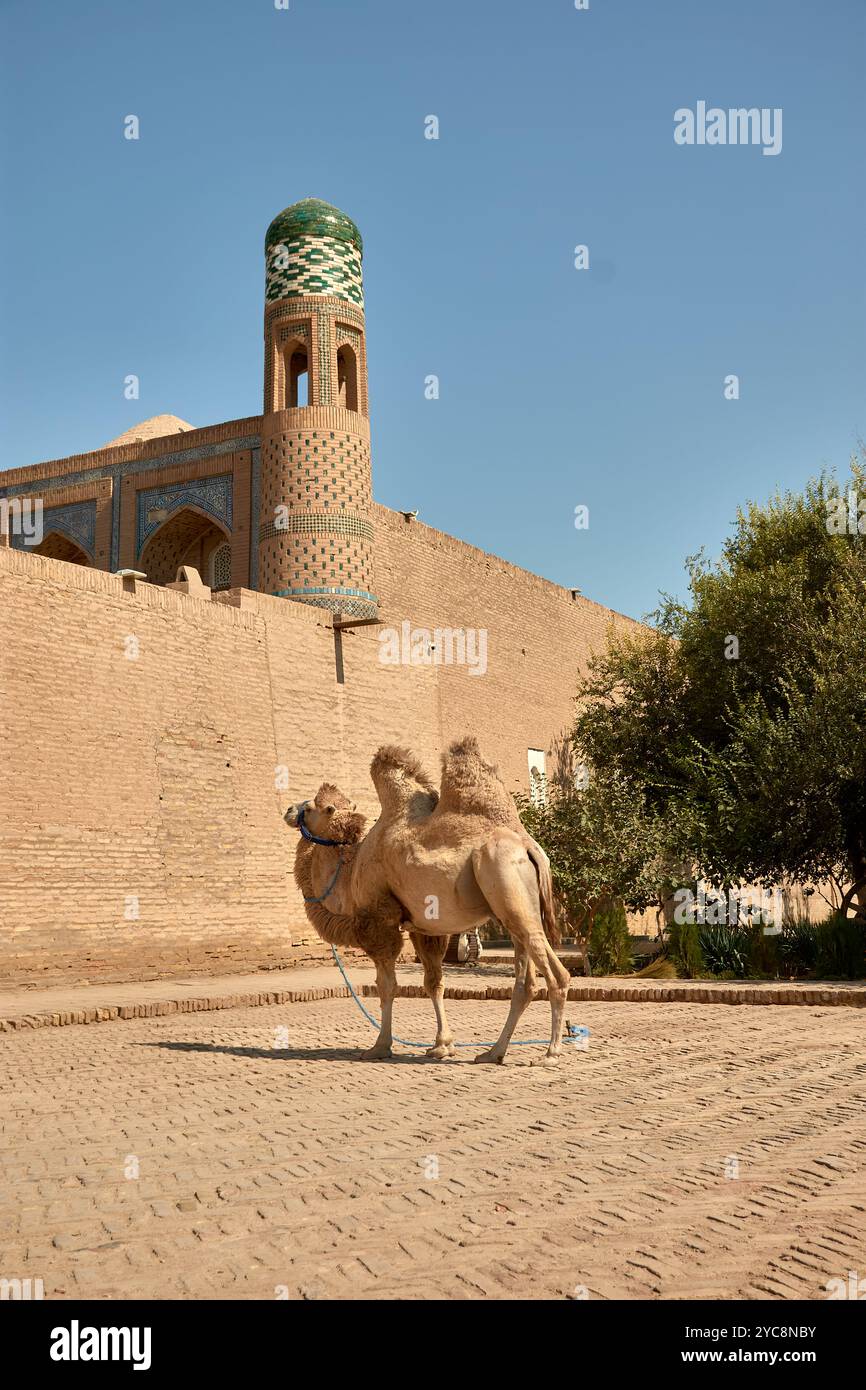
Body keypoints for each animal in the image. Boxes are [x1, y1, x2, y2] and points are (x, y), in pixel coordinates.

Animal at [284, 737, 571, 1065]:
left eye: (311, 806)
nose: (289, 809)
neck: (350, 868)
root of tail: (528, 847)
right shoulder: (423, 928)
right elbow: (433, 983)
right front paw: (442, 1046)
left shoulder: (379, 919)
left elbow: (387, 986)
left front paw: (380, 1046)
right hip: (514, 910)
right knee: (524, 984)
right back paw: (493, 1052)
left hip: (510, 894)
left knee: (557, 975)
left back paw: (550, 1053)